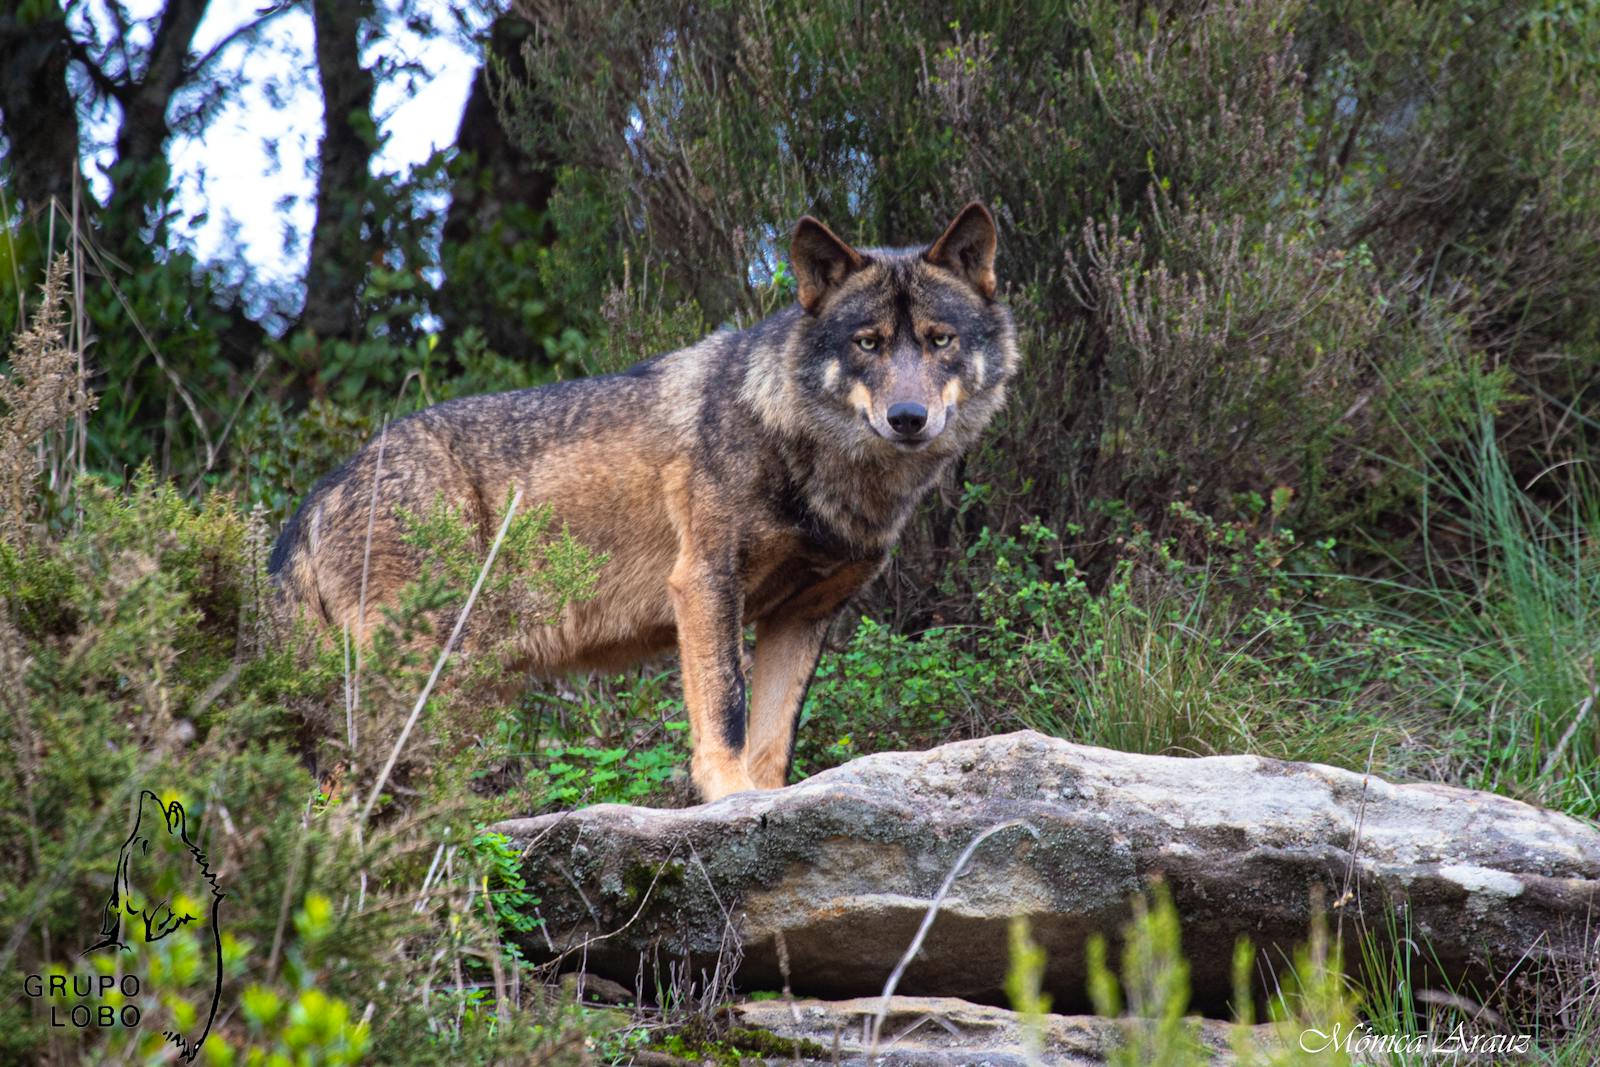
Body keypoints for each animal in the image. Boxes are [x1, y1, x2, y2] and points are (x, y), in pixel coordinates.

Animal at [269, 202, 1019, 801]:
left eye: (940, 340)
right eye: (868, 343)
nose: (908, 418)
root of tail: (321, 491)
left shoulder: (802, 618)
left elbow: (773, 743)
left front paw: (767, 801)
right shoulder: (705, 582)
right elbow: (726, 710)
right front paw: (729, 798)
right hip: (428, 678)